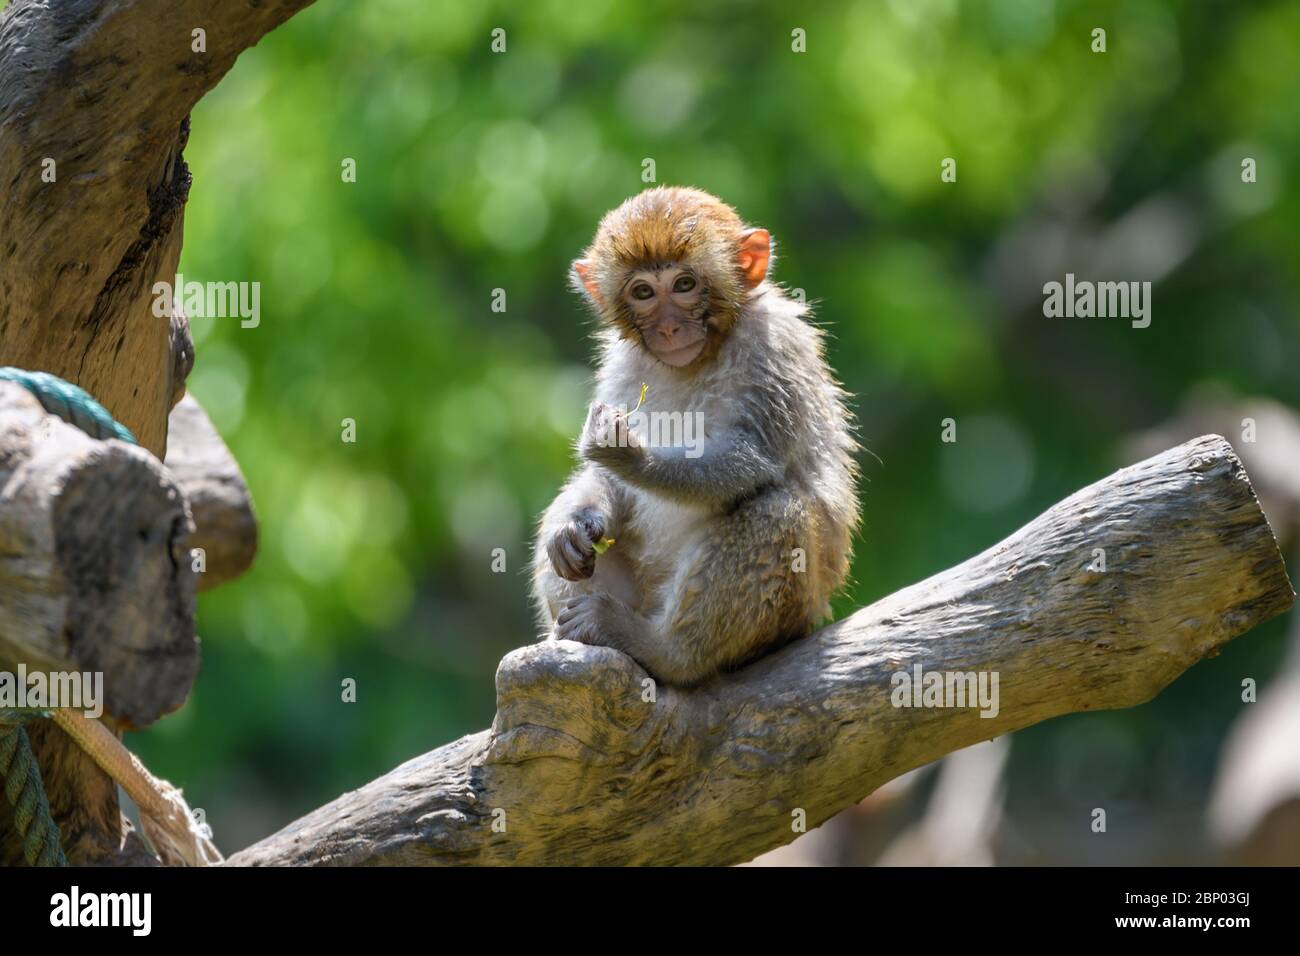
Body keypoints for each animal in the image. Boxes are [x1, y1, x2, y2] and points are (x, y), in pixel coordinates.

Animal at [530, 186, 860, 686]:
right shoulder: (620, 363)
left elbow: (751, 462)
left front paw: (633, 458)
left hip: (791, 613)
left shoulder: (773, 349)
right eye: (643, 292)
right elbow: (598, 485)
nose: (669, 327)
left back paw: (660, 649)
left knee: (773, 509)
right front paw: (574, 524)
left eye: (684, 285)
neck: (701, 356)